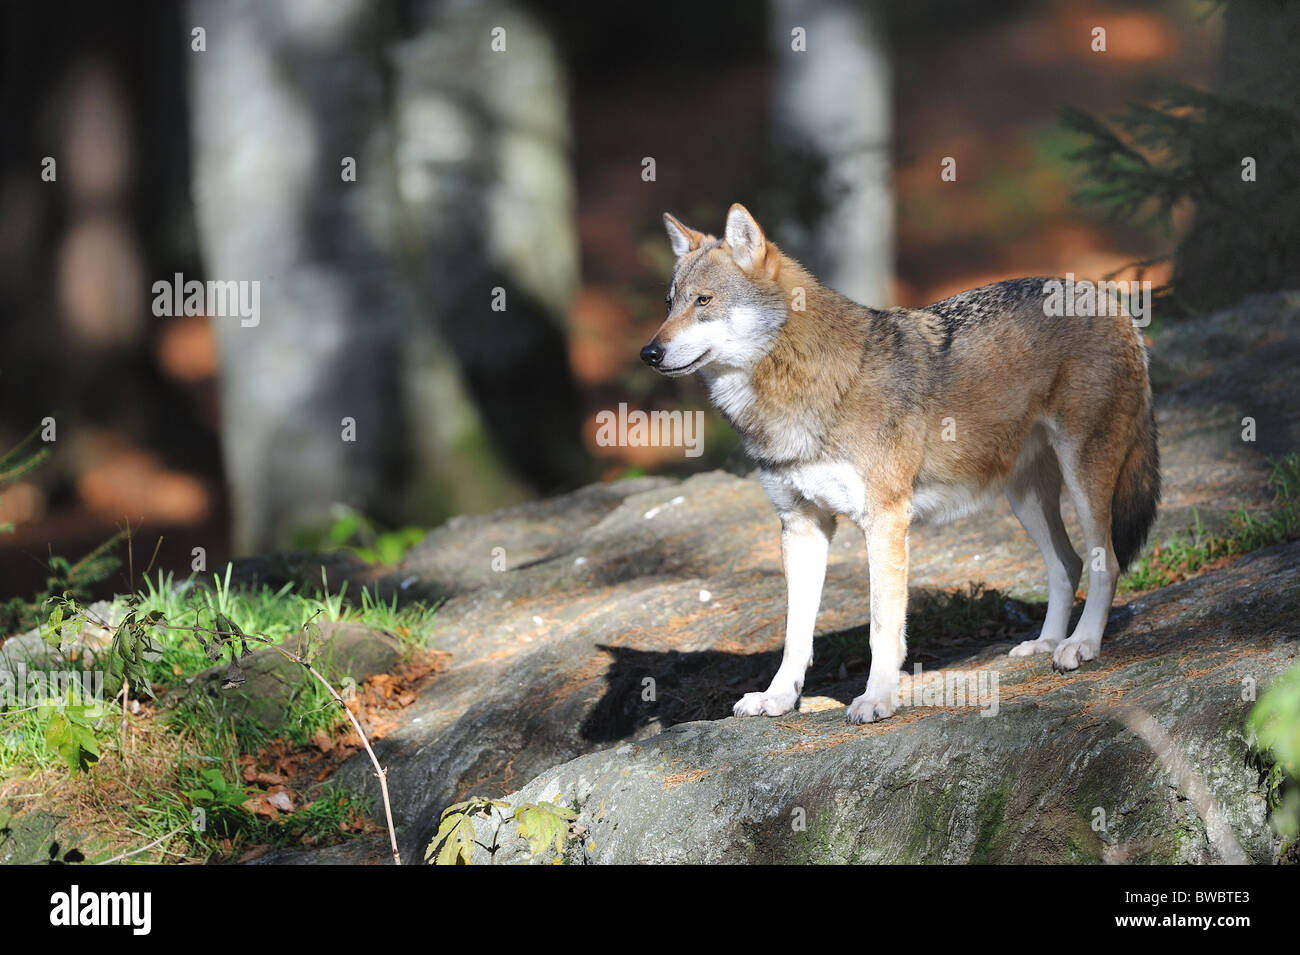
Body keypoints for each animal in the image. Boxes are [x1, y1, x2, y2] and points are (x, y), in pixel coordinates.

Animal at [641, 204, 1159, 723]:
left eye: (703, 301)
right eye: (668, 304)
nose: (649, 352)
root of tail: (1107, 296)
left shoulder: (885, 521)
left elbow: (881, 629)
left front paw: (876, 698)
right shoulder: (801, 526)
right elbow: (795, 634)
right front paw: (778, 698)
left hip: (1084, 479)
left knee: (1107, 563)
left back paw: (1081, 645)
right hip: (1025, 498)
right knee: (1066, 563)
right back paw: (1046, 642)